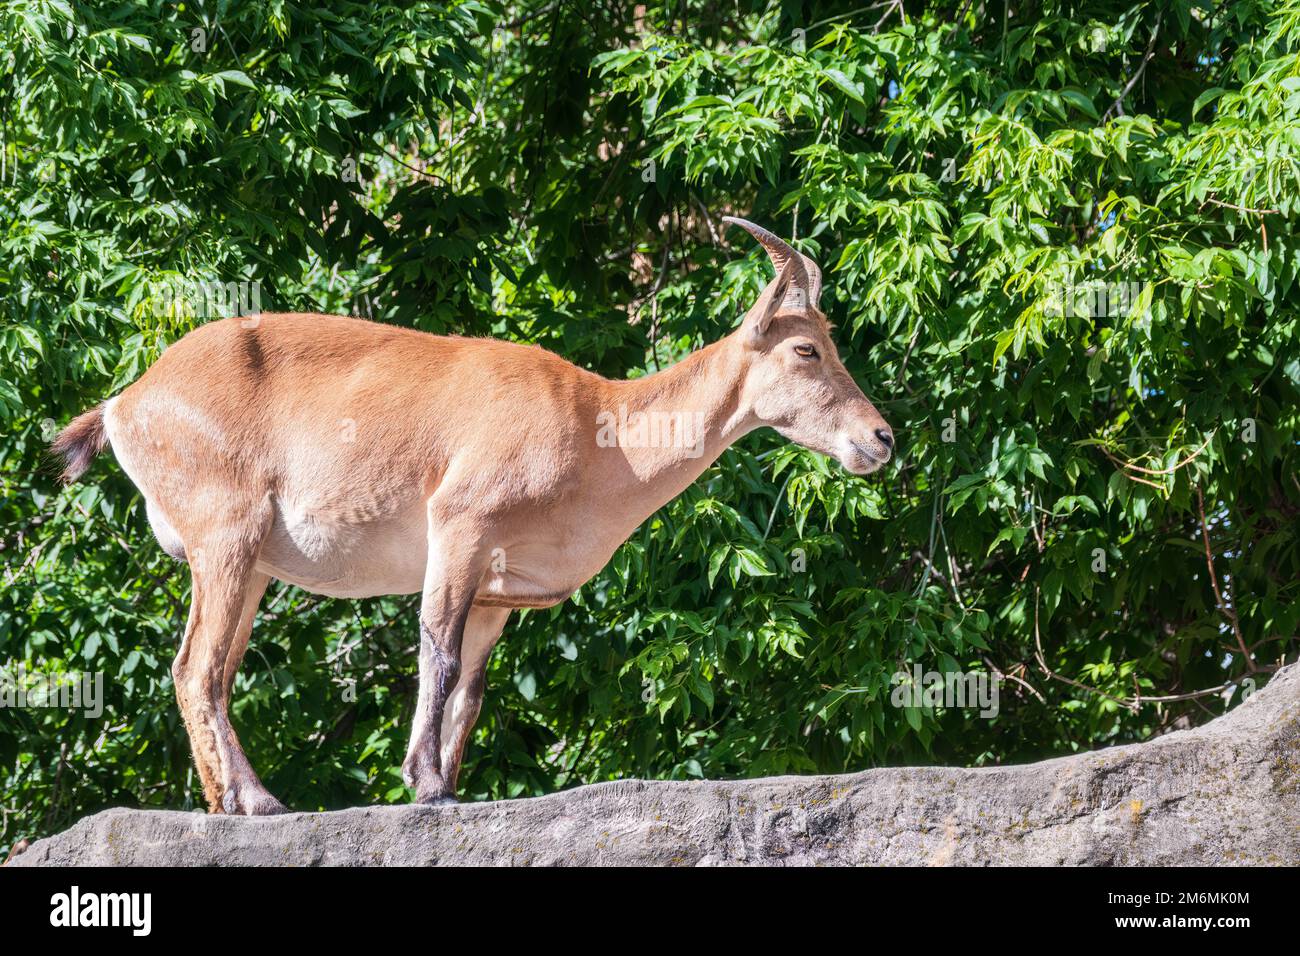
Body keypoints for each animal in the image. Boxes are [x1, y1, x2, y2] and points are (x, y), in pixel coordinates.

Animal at [50, 218, 894, 814]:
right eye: (807, 350)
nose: (880, 438)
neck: (601, 428)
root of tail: (127, 402)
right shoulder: (459, 528)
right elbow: (439, 656)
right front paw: (424, 785)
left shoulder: (498, 591)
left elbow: (475, 688)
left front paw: (452, 786)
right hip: (225, 540)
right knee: (195, 668)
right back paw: (252, 803)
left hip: (249, 566)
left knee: (215, 672)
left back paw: (234, 800)